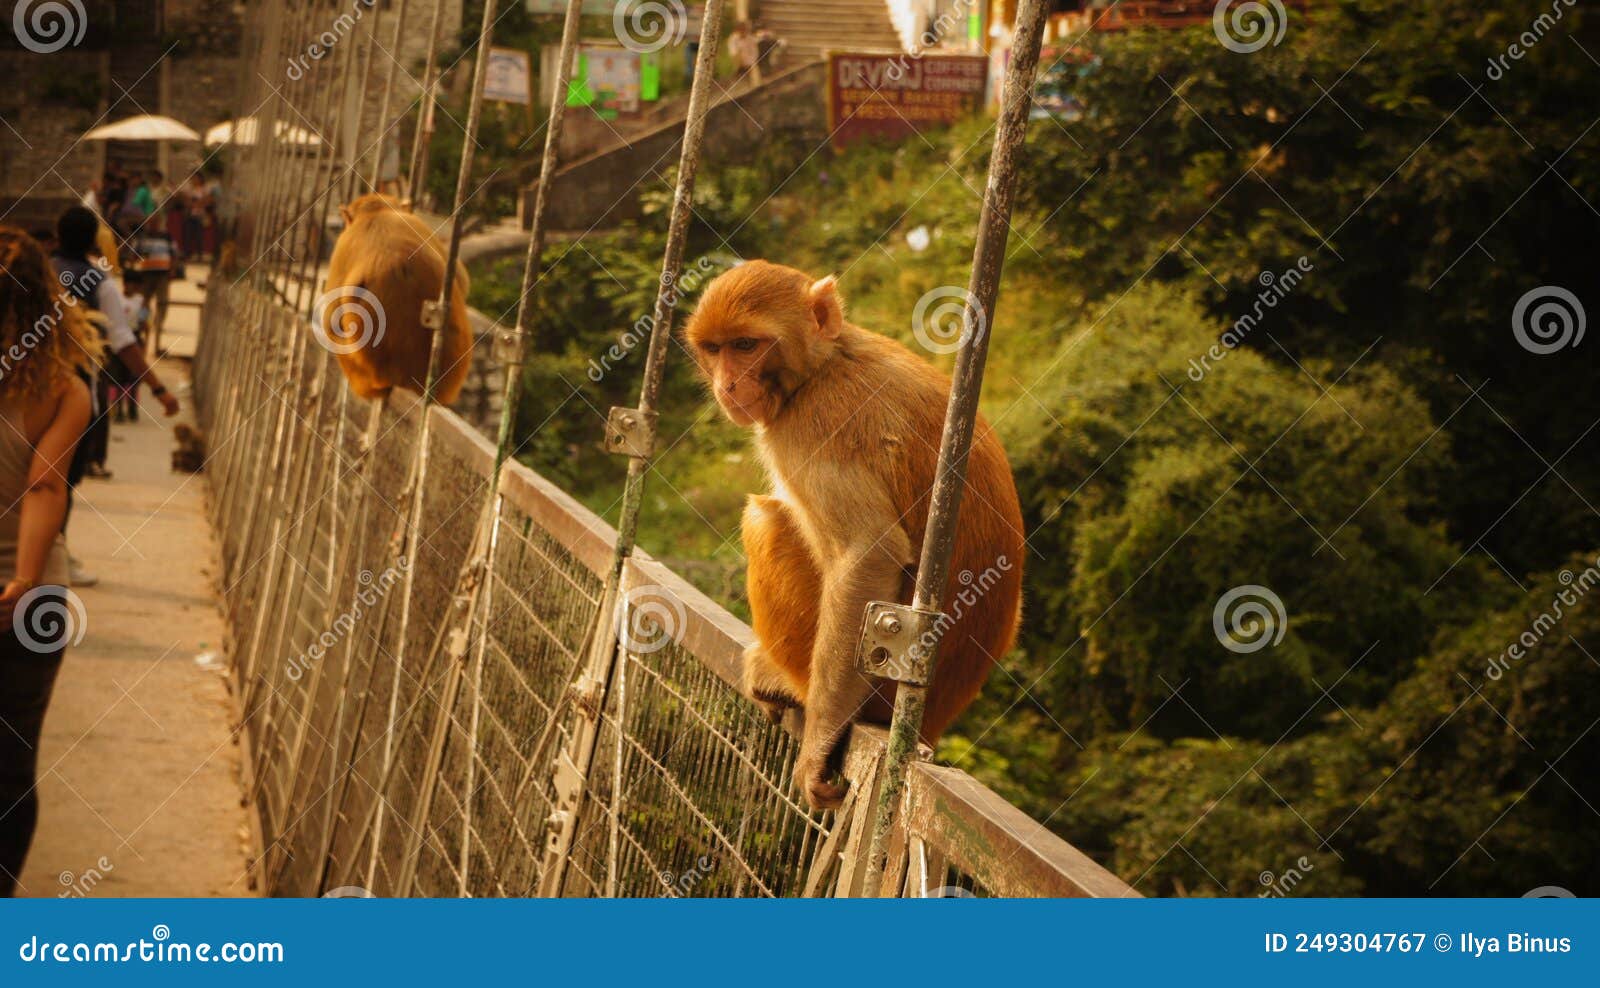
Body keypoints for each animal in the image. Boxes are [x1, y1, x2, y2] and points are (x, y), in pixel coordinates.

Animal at [684, 261, 1024, 811]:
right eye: (715, 349)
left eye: (746, 345)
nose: (728, 384)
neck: (826, 362)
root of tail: (932, 716)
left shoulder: (812, 425)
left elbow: (869, 554)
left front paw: (818, 743)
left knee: (764, 519)